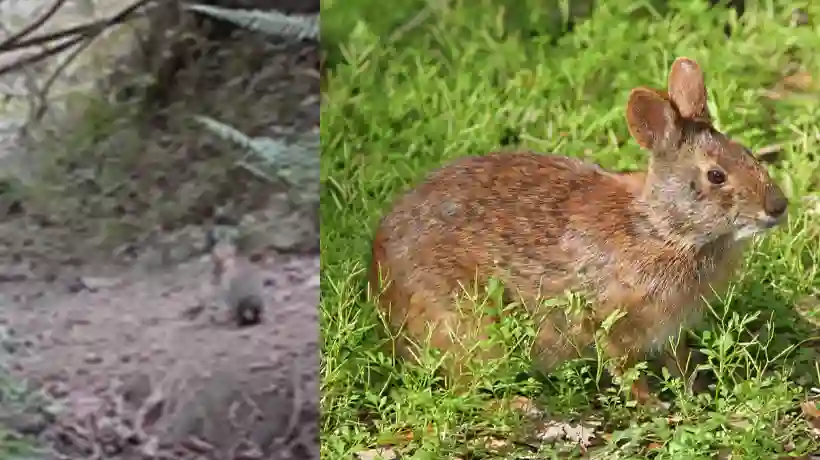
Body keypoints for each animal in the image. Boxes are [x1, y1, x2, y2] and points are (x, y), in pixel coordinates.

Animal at [369, 57, 789, 406]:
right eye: (716, 176)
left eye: (748, 153)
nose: (778, 206)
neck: (662, 229)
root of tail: (382, 293)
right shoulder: (612, 321)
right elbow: (626, 369)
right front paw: (652, 404)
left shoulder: (672, 329)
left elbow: (678, 360)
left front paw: (694, 391)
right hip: (470, 325)